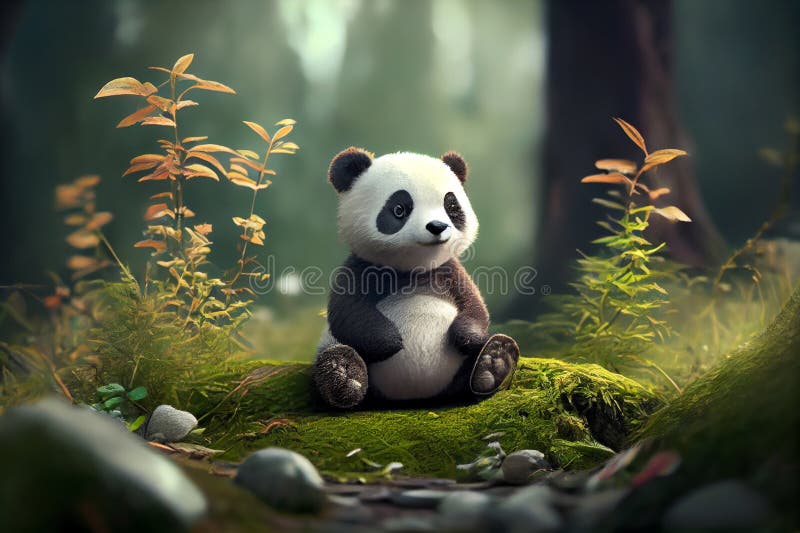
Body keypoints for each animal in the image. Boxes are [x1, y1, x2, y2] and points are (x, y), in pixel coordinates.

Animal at [312, 147, 520, 409]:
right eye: (399, 209)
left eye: (451, 206)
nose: (437, 226)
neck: (414, 268)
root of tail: (417, 395)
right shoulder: (362, 267)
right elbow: (347, 312)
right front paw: (390, 341)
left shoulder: (449, 271)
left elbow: (474, 305)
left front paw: (468, 336)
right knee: (336, 355)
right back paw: (346, 377)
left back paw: (493, 363)